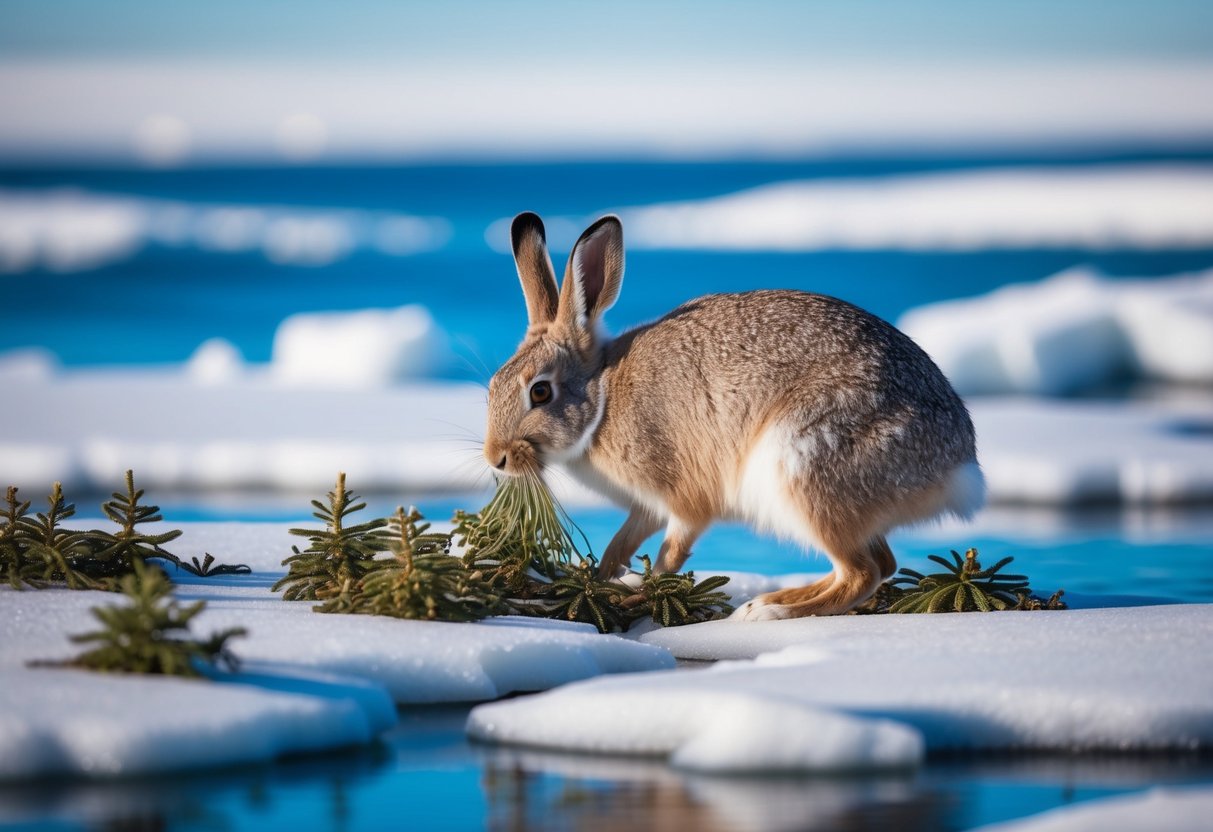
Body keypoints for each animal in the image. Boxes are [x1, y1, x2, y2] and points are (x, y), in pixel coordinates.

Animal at [483, 212, 984, 619]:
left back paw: (768, 612)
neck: (602, 399)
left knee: (862, 572)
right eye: (492, 385)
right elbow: (621, 541)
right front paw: (602, 577)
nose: (496, 459)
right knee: (881, 564)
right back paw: (772, 600)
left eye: (540, 392)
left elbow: (672, 550)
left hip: (804, 471)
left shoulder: (684, 495)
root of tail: (958, 465)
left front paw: (643, 591)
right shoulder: (646, 505)